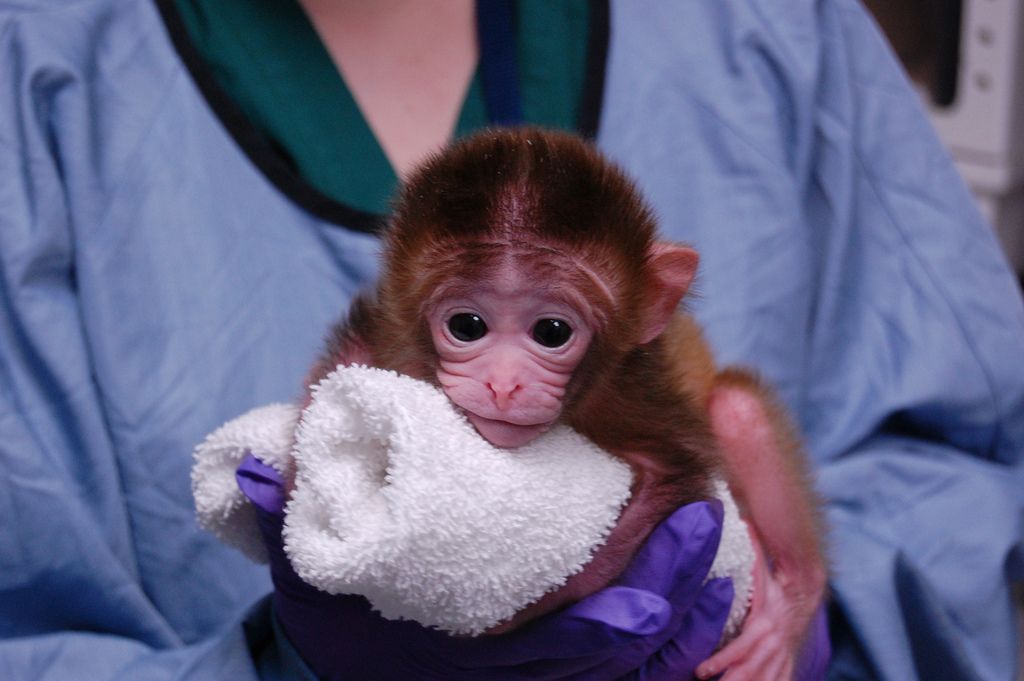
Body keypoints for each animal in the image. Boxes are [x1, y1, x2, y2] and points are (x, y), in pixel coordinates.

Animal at [301, 128, 827, 680]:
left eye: (552, 332)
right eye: (467, 326)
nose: (504, 384)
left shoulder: (628, 392)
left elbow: (667, 477)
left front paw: (496, 631)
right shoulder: (392, 342)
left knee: (736, 409)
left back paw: (791, 611)